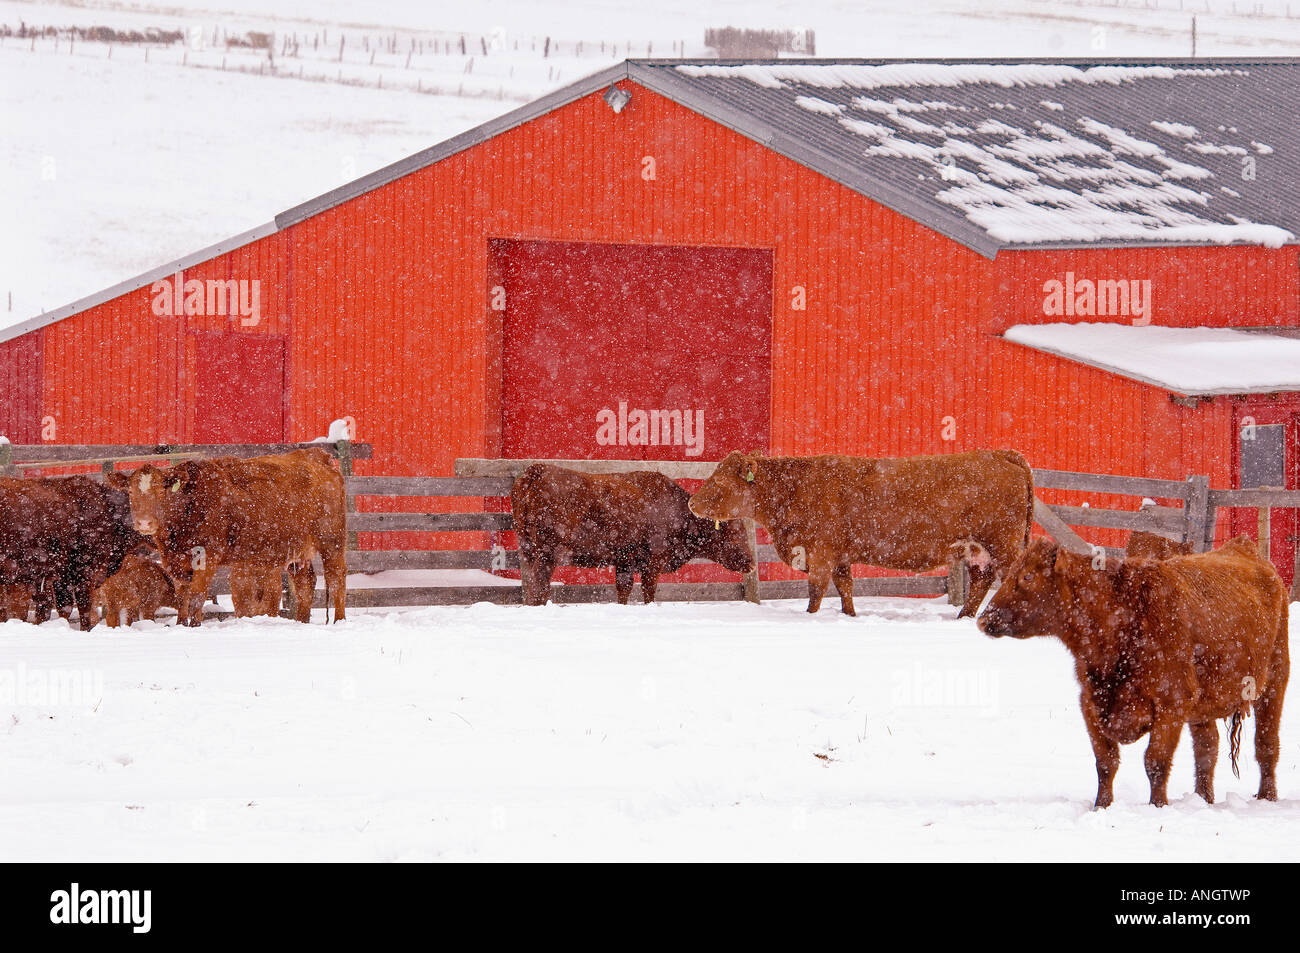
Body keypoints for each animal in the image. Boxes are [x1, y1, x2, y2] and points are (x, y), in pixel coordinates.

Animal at [127, 449, 347, 625]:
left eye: (160, 491)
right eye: (130, 491)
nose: (144, 523)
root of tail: (318, 456)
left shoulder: (208, 556)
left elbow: (197, 596)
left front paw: (194, 626)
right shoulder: (177, 562)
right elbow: (183, 597)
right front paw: (181, 624)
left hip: (331, 541)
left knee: (336, 579)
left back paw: (339, 620)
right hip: (296, 550)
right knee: (305, 583)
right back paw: (301, 622)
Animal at [510, 464, 755, 606]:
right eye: (734, 532)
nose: (752, 564)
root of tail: (537, 470)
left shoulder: (624, 562)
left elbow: (624, 590)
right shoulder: (653, 562)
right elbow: (648, 592)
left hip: (530, 551)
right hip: (546, 555)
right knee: (539, 588)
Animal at [687, 449, 1034, 617]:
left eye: (719, 481)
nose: (691, 502)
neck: (794, 489)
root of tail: (999, 453)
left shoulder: (821, 552)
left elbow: (816, 592)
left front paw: (810, 618)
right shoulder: (839, 555)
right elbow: (846, 590)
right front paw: (850, 616)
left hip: (1003, 545)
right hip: (980, 550)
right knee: (980, 582)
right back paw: (963, 617)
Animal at [978, 536, 1289, 808]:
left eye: (1028, 577)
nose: (984, 619)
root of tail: (1244, 547)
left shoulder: (1171, 704)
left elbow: (1155, 761)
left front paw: (1157, 806)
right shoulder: (1090, 703)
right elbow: (1105, 762)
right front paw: (1101, 806)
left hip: (1274, 682)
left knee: (1266, 744)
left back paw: (1267, 797)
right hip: (1204, 702)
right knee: (1207, 748)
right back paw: (1203, 799)